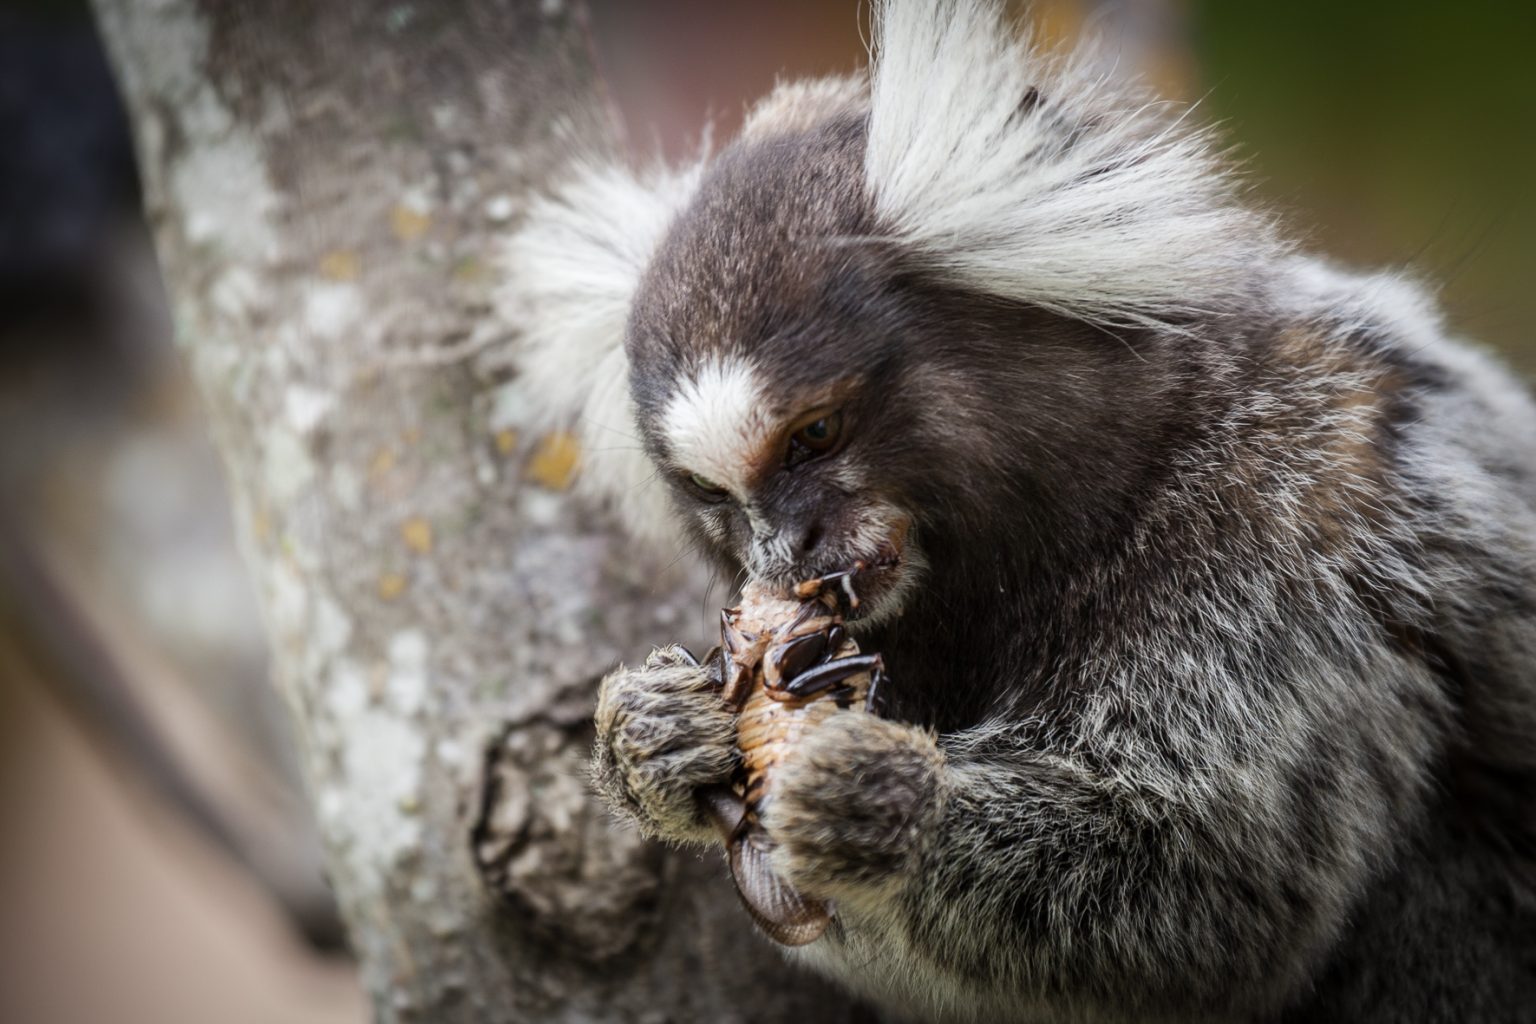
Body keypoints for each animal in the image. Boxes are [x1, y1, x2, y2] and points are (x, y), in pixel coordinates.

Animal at [496, 1, 1536, 1020]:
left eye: (816, 434)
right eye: (712, 493)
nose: (784, 549)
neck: (1115, 493)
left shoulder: (1288, 541)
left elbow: (1220, 898)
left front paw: (885, 803)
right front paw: (650, 744)